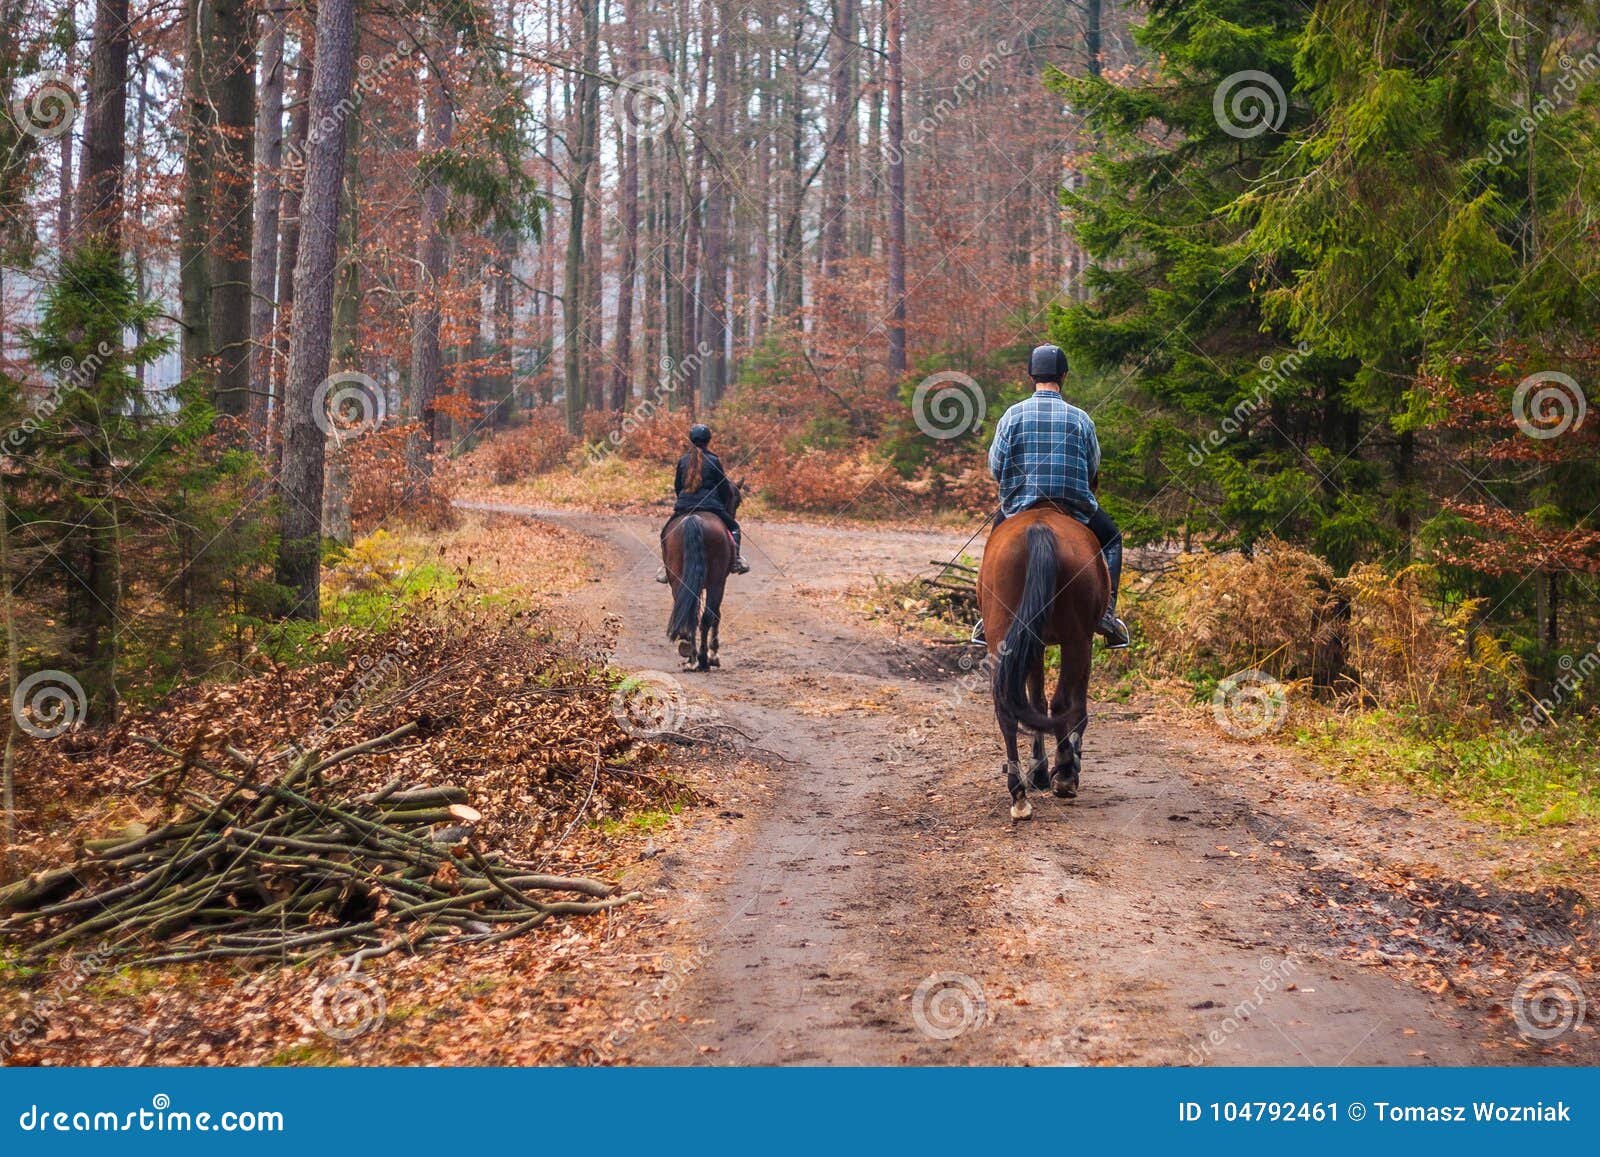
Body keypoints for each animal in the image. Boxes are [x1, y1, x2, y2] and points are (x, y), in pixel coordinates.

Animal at [662, 479, 743, 671]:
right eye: (736, 501)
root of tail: (695, 519)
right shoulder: (719, 583)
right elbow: (716, 614)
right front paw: (714, 655)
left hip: (678, 579)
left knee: (691, 614)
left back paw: (690, 656)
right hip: (715, 582)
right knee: (707, 616)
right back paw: (704, 659)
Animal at [976, 504, 1109, 820]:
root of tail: (1039, 529)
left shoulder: (1032, 643)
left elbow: (1035, 702)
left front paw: (1037, 771)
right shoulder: (1082, 640)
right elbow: (1074, 707)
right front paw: (1061, 769)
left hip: (1004, 634)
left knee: (1007, 710)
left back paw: (1019, 795)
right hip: (1077, 640)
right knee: (1064, 704)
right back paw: (1064, 775)